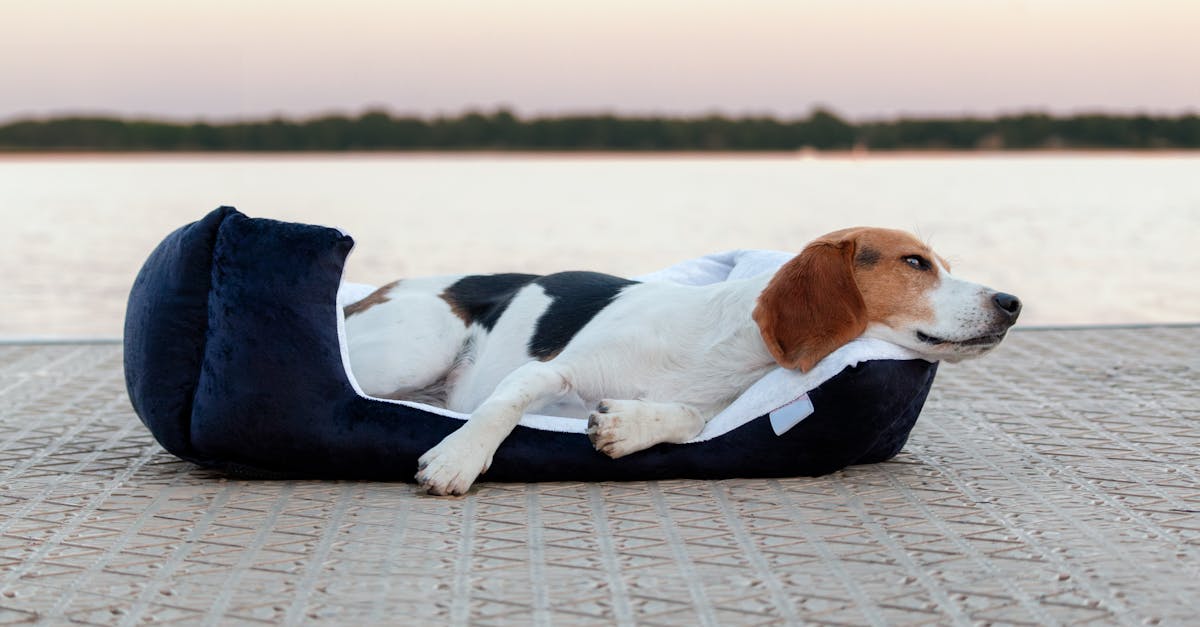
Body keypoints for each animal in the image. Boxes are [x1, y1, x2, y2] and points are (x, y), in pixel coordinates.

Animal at [345, 225, 1022, 492]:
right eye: (915, 263)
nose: (1012, 301)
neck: (724, 350)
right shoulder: (547, 370)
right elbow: (502, 406)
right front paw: (458, 457)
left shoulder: (712, 408)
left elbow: (690, 418)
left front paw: (628, 425)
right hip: (421, 345)